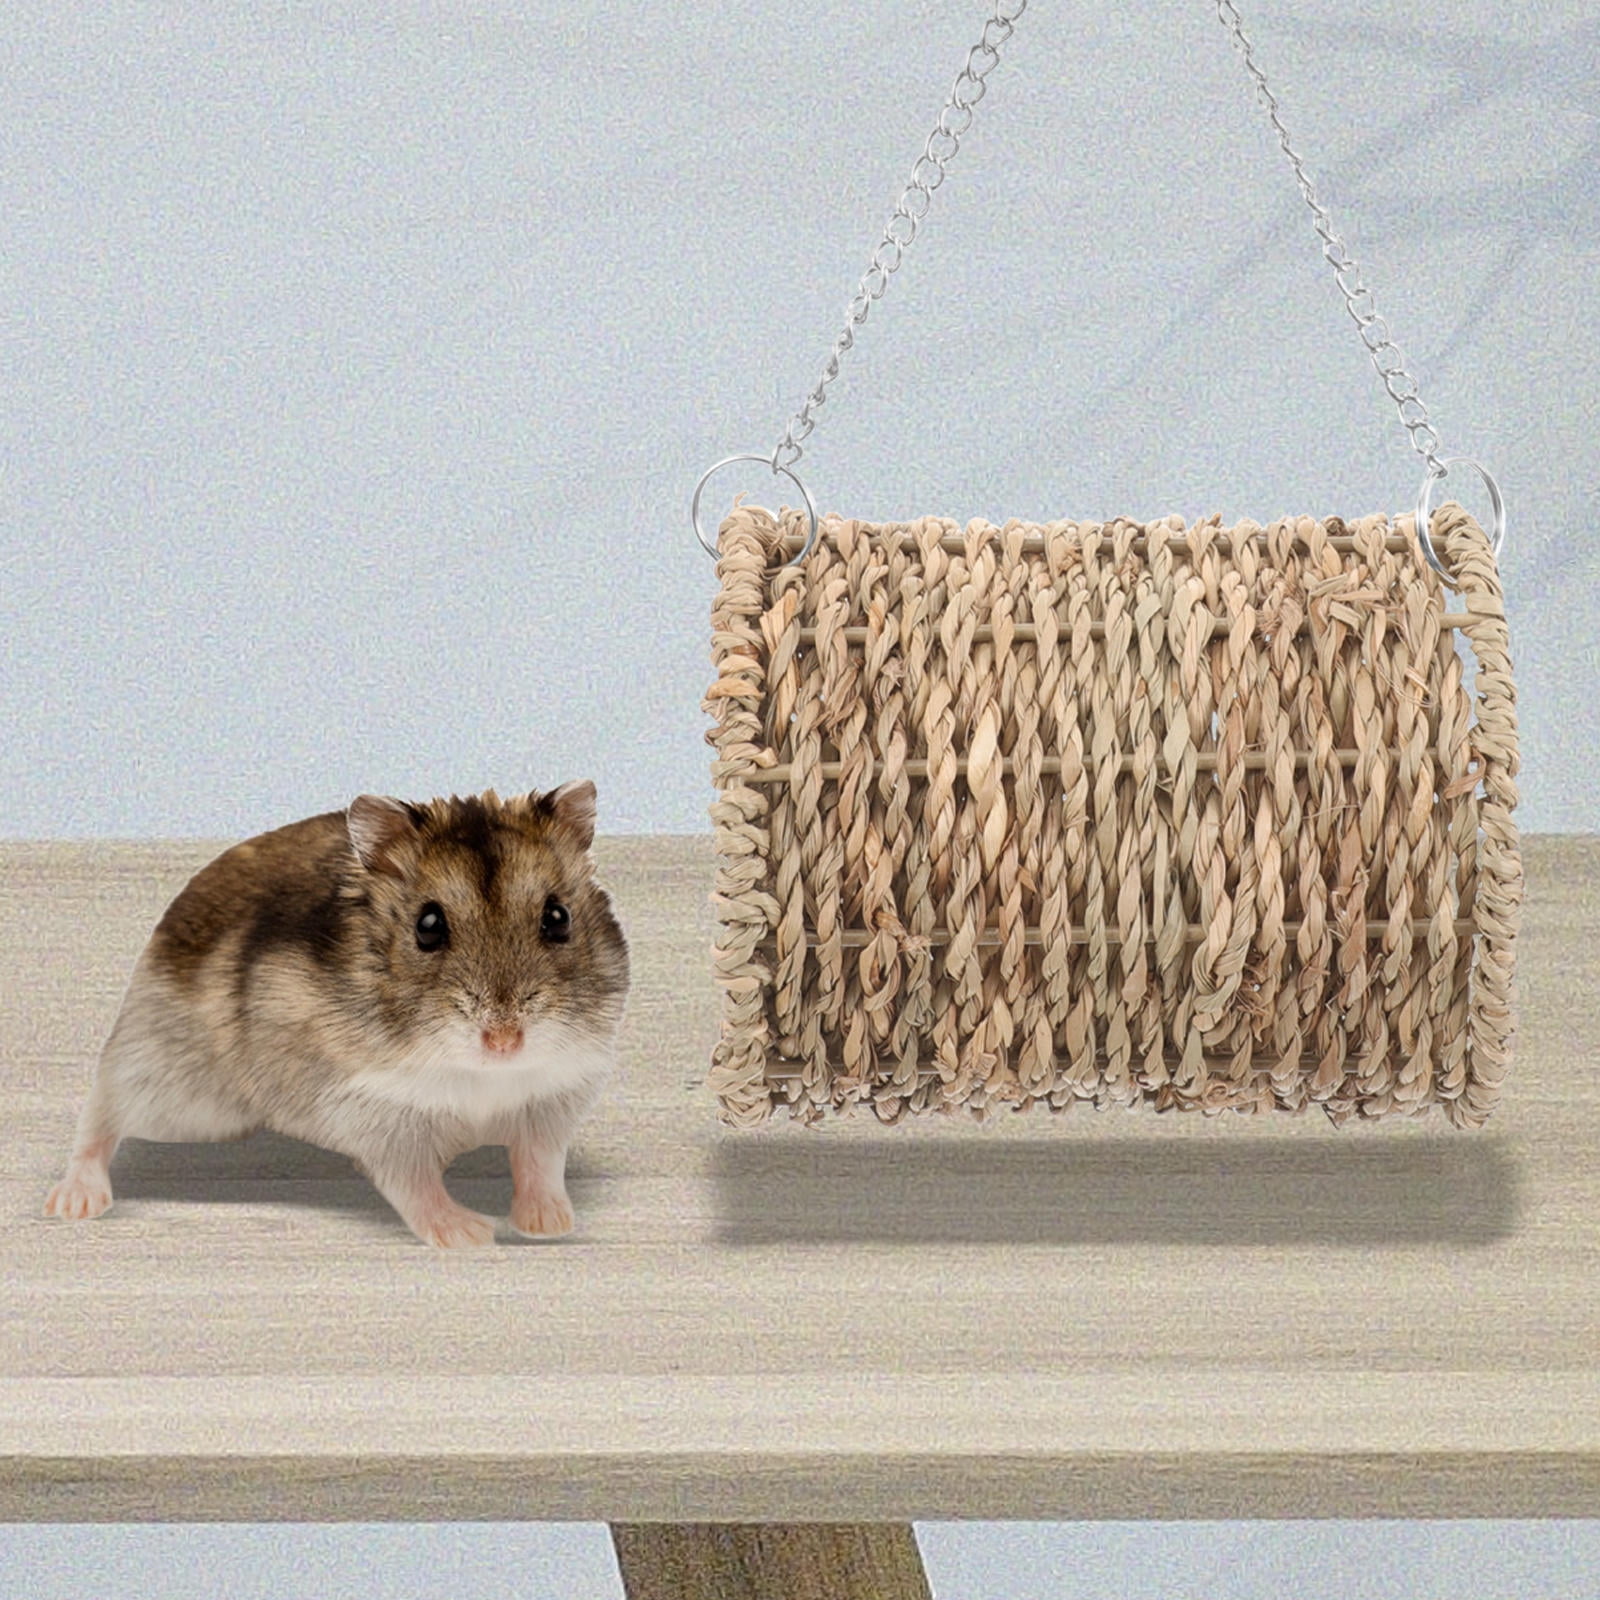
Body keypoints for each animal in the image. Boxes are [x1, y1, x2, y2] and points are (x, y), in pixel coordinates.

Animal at [43, 781, 629, 1248]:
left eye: (558, 917)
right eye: (428, 925)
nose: (505, 1041)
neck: (483, 1078)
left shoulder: (551, 1100)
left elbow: (539, 1165)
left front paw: (549, 1224)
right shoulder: (379, 1113)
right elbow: (414, 1184)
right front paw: (469, 1234)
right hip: (171, 1087)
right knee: (99, 1112)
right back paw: (71, 1203)